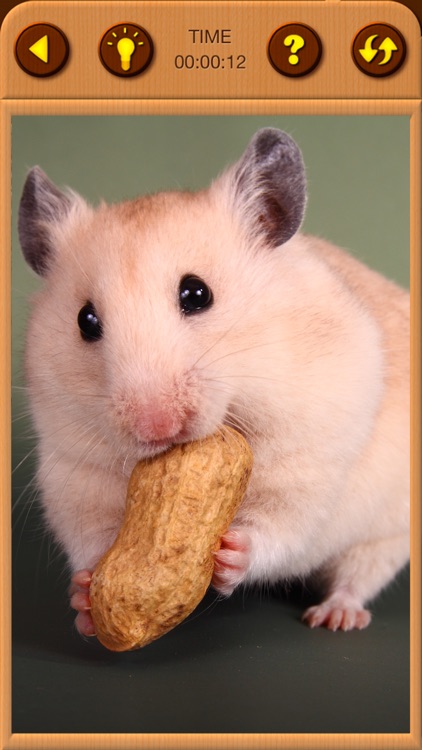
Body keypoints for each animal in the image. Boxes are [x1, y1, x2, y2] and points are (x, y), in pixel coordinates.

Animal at [18, 128, 409, 636]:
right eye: (86, 321)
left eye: (196, 293)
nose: (157, 427)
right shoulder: (75, 478)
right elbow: (94, 540)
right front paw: (86, 599)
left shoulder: (312, 466)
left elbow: (278, 529)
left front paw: (229, 553)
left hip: (390, 528)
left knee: (361, 572)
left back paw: (334, 617)